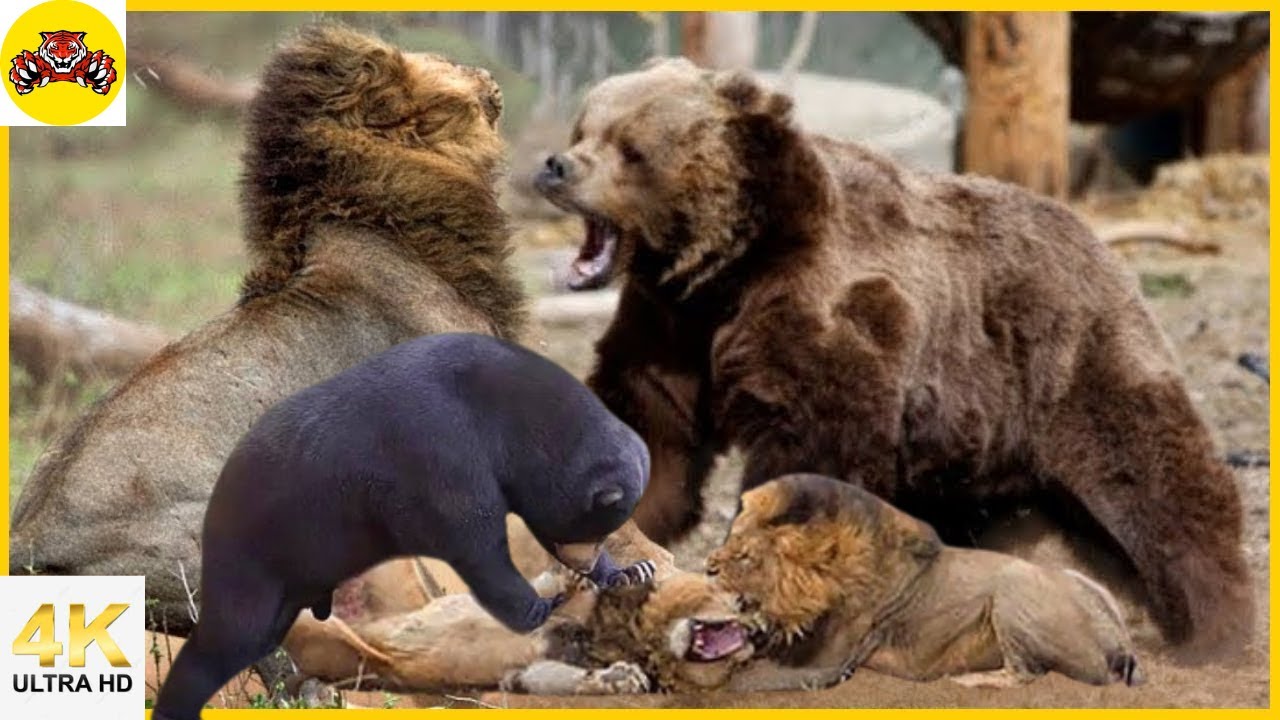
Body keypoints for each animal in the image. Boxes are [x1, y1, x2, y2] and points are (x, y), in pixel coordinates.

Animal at [151, 333, 654, 720]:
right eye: (593, 524)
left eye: (605, 533)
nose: (584, 565)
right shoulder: (439, 452)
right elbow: (475, 540)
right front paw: (545, 605)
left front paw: (630, 572)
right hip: (257, 552)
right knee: (229, 638)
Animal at [533, 58, 1252, 662]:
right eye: (586, 126)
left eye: (630, 147)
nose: (555, 166)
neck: (729, 271)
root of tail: (1099, 242)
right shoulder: (670, 332)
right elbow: (650, 432)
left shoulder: (828, 319)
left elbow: (813, 448)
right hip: (975, 455)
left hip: (1072, 367)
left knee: (1154, 483)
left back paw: (1216, 633)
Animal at [706, 474, 1145, 689]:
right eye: (731, 536)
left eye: (746, 555)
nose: (709, 567)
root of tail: (1119, 637)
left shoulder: (826, 661)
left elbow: (741, 682)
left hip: (1013, 585)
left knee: (1026, 675)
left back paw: (972, 681)